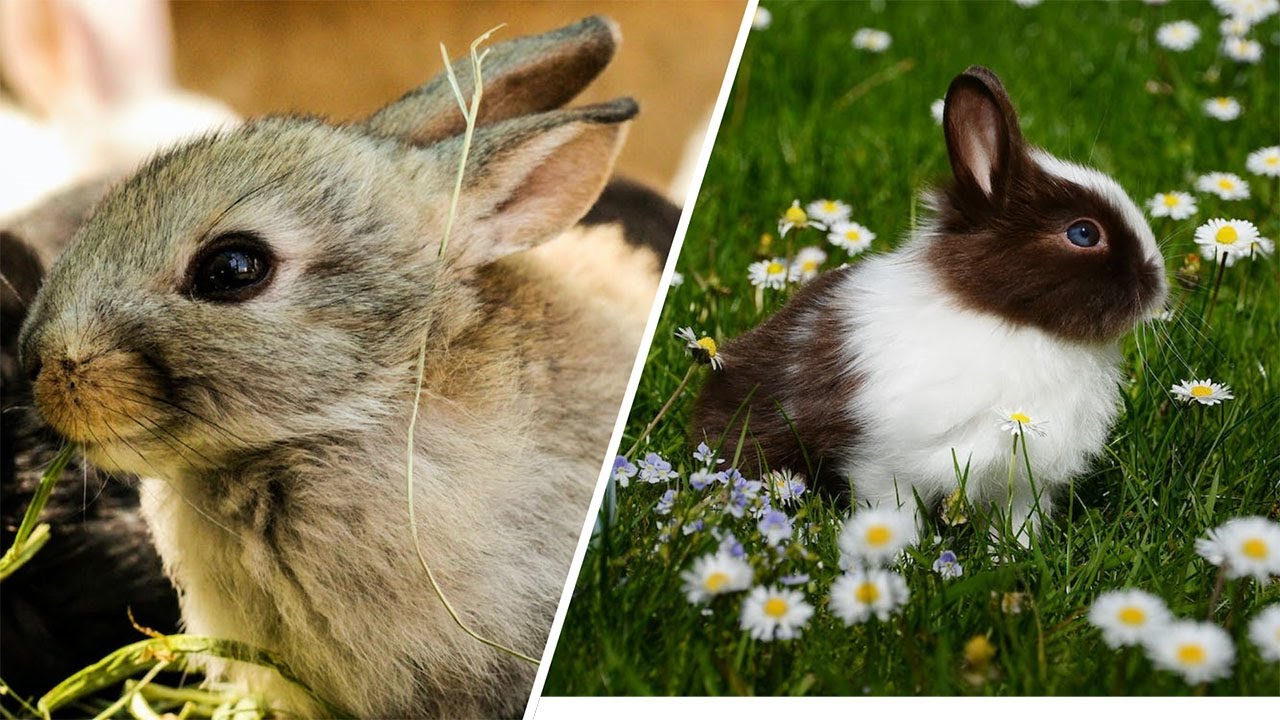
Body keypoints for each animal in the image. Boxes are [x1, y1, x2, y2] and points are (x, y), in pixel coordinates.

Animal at [694, 66, 1168, 543]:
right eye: (1084, 234)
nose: (1158, 283)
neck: (1008, 321)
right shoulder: (884, 464)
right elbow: (892, 513)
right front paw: (899, 553)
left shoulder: (1021, 481)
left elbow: (1016, 522)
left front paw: (1012, 552)